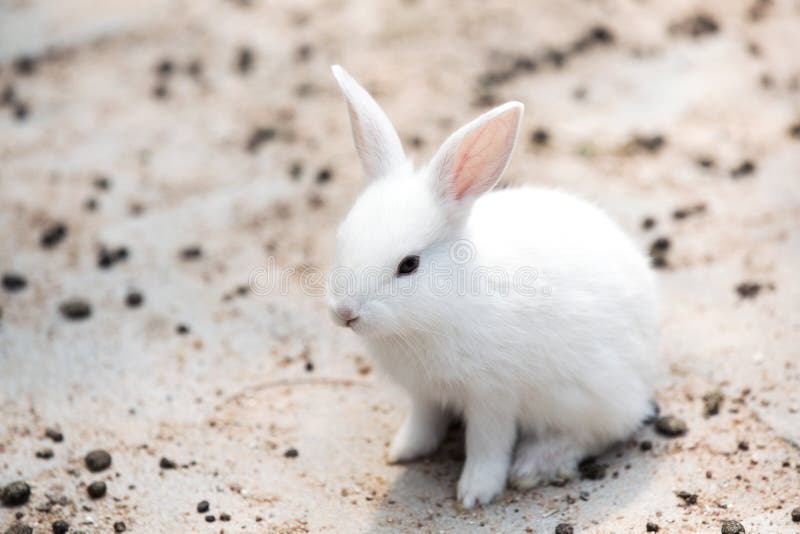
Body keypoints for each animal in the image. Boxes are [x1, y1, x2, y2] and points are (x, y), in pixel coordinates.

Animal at [326, 65, 660, 508]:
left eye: (409, 264)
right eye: (341, 237)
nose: (345, 312)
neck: (442, 306)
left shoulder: (493, 396)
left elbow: (487, 444)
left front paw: (474, 493)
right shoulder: (424, 394)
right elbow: (424, 423)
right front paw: (403, 451)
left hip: (587, 393)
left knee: (603, 429)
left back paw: (535, 465)